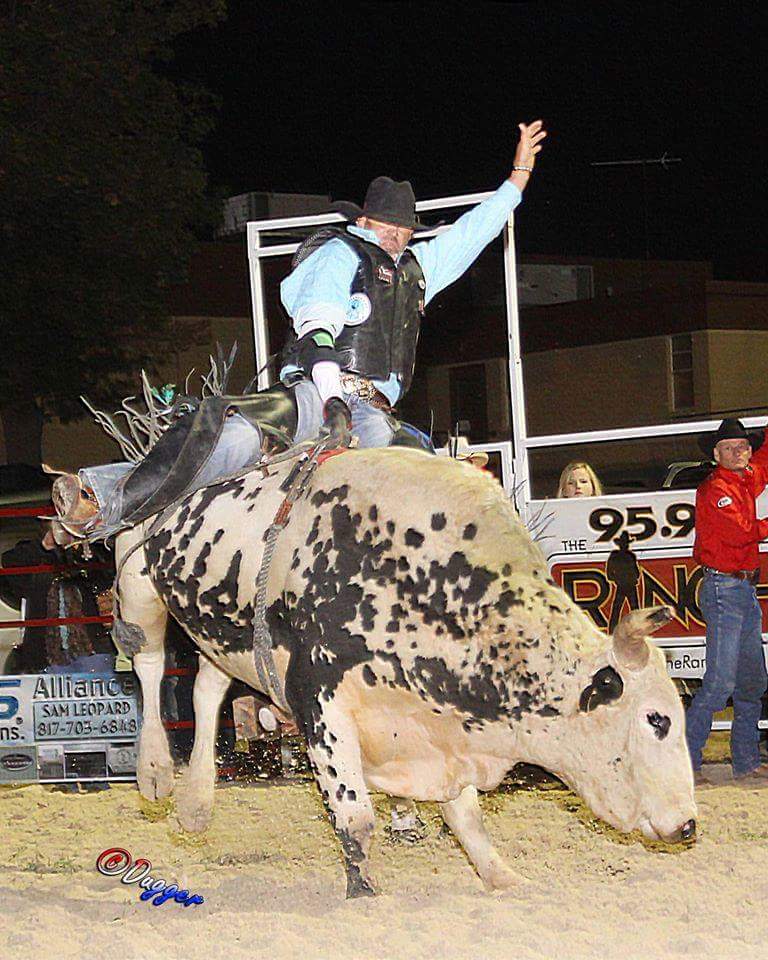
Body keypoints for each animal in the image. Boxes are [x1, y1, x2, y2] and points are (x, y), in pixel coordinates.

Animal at [112, 447, 696, 898]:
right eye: (657, 720)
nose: (689, 825)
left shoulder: (443, 723)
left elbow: (466, 818)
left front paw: (503, 878)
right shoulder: (321, 701)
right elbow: (355, 818)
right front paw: (363, 889)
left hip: (223, 631)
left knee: (207, 688)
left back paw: (195, 805)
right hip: (137, 585)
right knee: (150, 664)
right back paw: (155, 772)